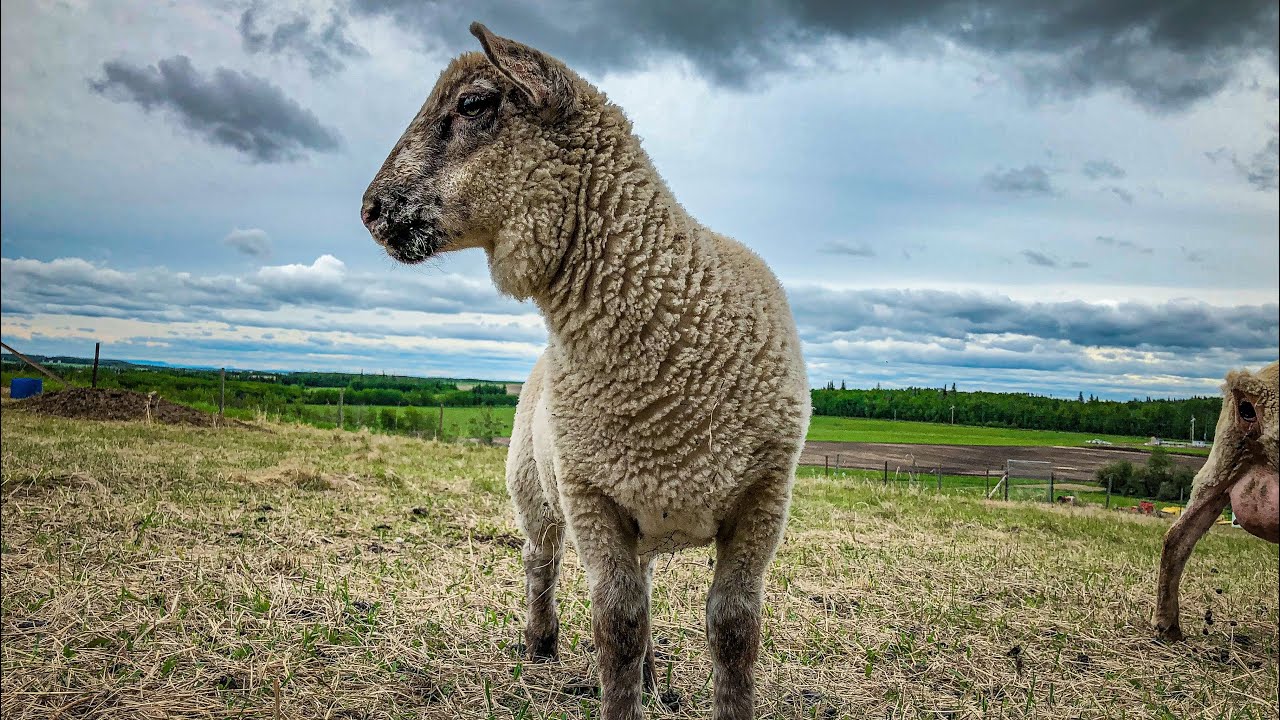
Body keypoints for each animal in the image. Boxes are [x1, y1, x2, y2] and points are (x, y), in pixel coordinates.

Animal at [360, 23, 811, 719]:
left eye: (474, 102)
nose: (371, 208)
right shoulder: (589, 497)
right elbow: (617, 627)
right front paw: (618, 694)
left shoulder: (762, 497)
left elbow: (732, 629)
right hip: (535, 491)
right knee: (539, 563)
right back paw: (540, 644)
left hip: (642, 516)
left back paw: (652, 678)